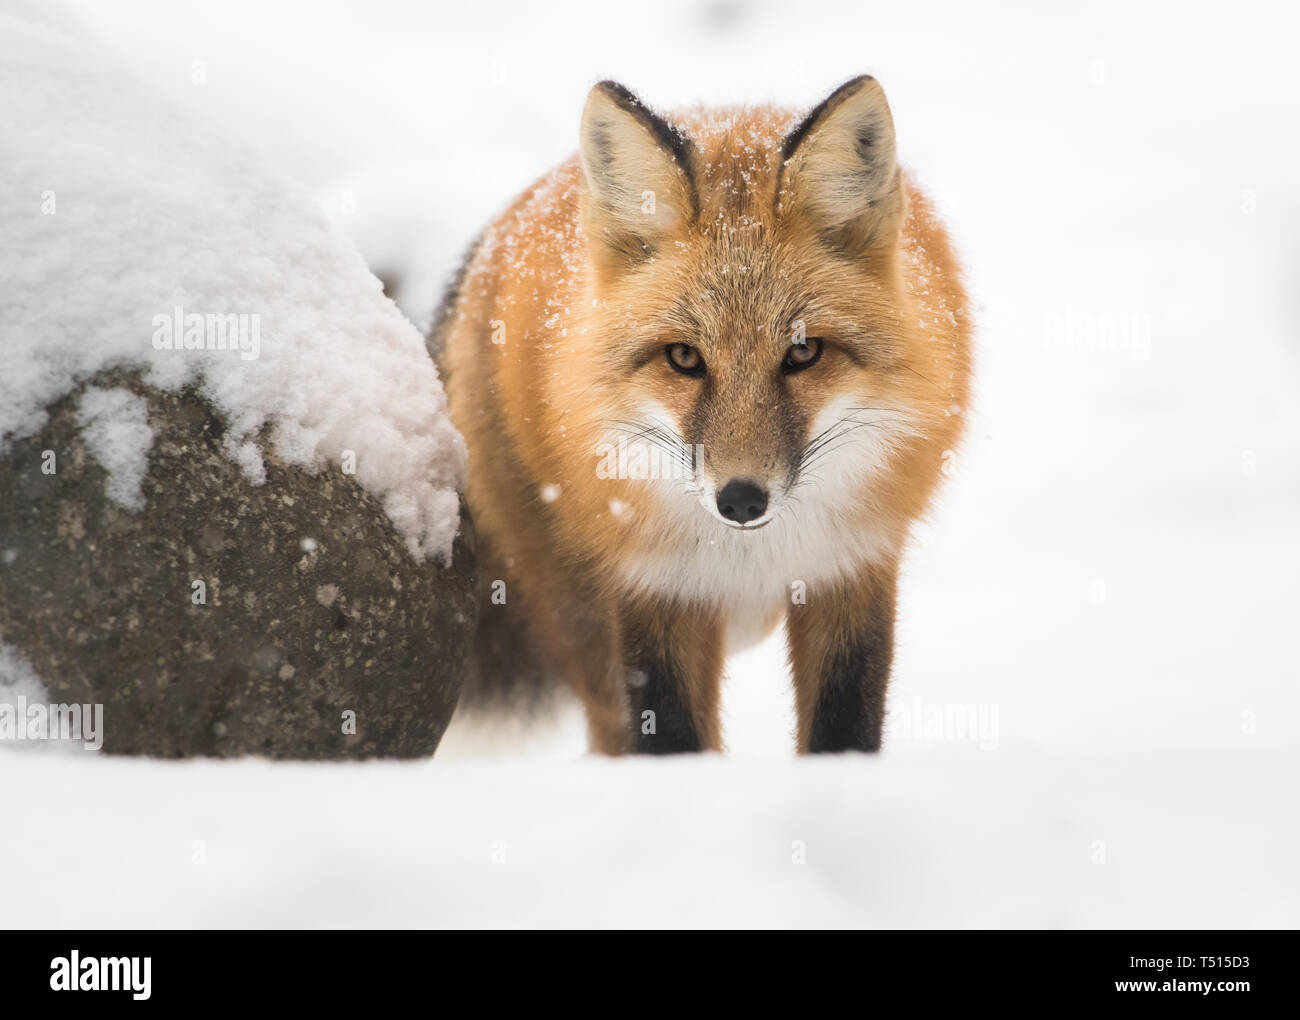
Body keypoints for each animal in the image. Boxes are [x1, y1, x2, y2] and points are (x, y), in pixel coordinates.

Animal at [433, 76, 971, 755]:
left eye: (803, 352)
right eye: (685, 357)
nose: (740, 500)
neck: (752, 555)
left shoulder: (850, 569)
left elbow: (843, 730)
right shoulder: (655, 588)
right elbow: (671, 738)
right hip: (579, 619)